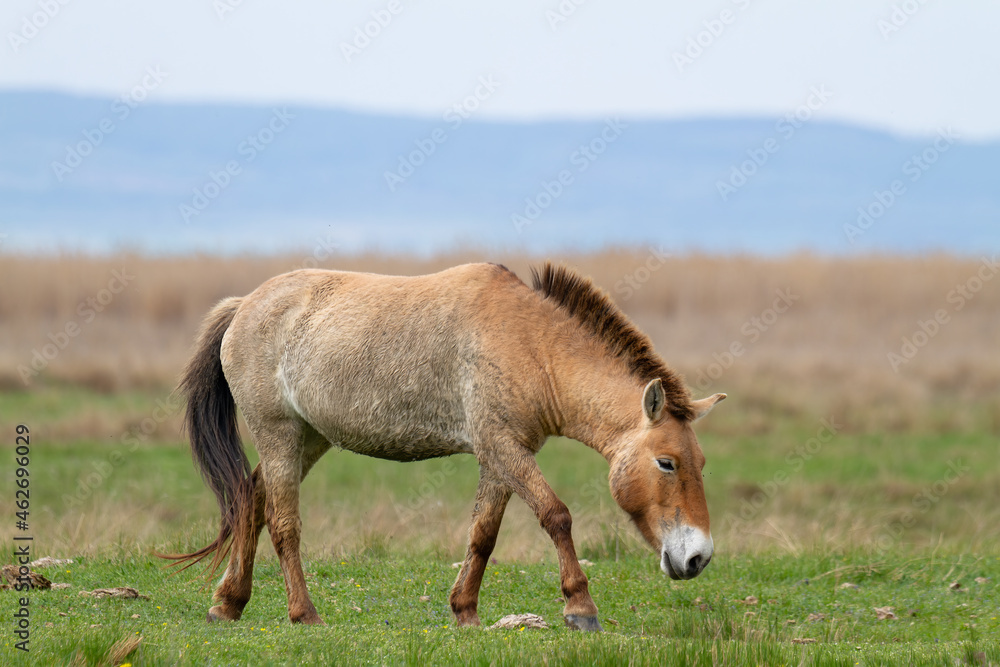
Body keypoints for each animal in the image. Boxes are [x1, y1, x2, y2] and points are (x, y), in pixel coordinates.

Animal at [162, 262, 725, 631]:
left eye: (701, 463)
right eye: (667, 462)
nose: (698, 558)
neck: (530, 344)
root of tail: (245, 305)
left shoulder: (502, 455)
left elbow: (483, 534)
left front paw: (465, 611)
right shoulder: (503, 447)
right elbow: (556, 515)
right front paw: (580, 609)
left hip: (309, 438)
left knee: (252, 500)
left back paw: (227, 603)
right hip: (279, 434)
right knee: (282, 524)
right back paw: (304, 614)